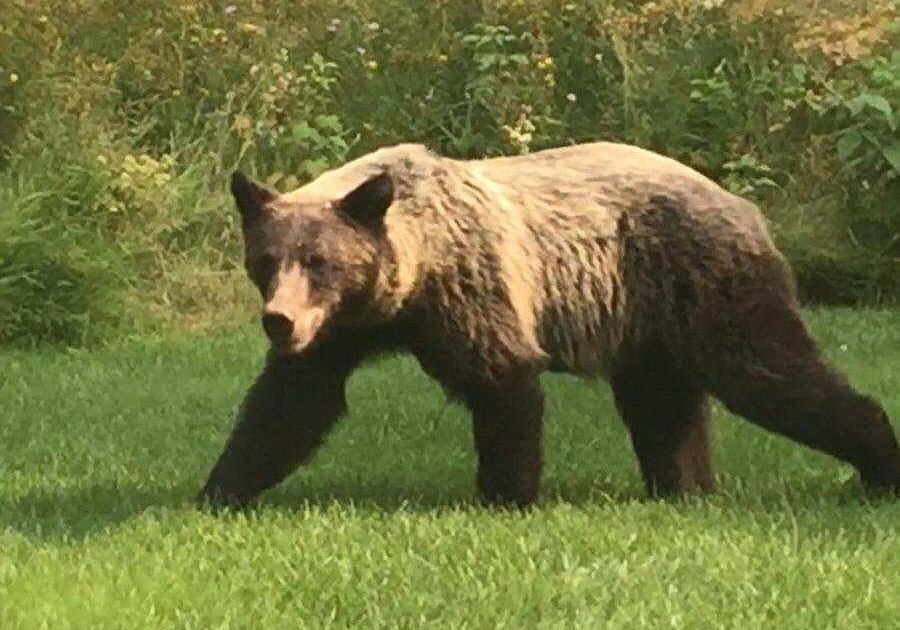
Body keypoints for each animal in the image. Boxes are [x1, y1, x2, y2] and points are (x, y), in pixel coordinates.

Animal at [198, 142, 900, 508]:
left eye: (320, 262)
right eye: (265, 261)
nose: (278, 322)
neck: (401, 291)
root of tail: (742, 201)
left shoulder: (470, 289)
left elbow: (502, 381)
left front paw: (505, 495)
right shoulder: (340, 332)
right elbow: (290, 406)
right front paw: (218, 490)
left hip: (702, 278)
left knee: (768, 370)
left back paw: (877, 465)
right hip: (647, 320)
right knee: (663, 406)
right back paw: (683, 486)